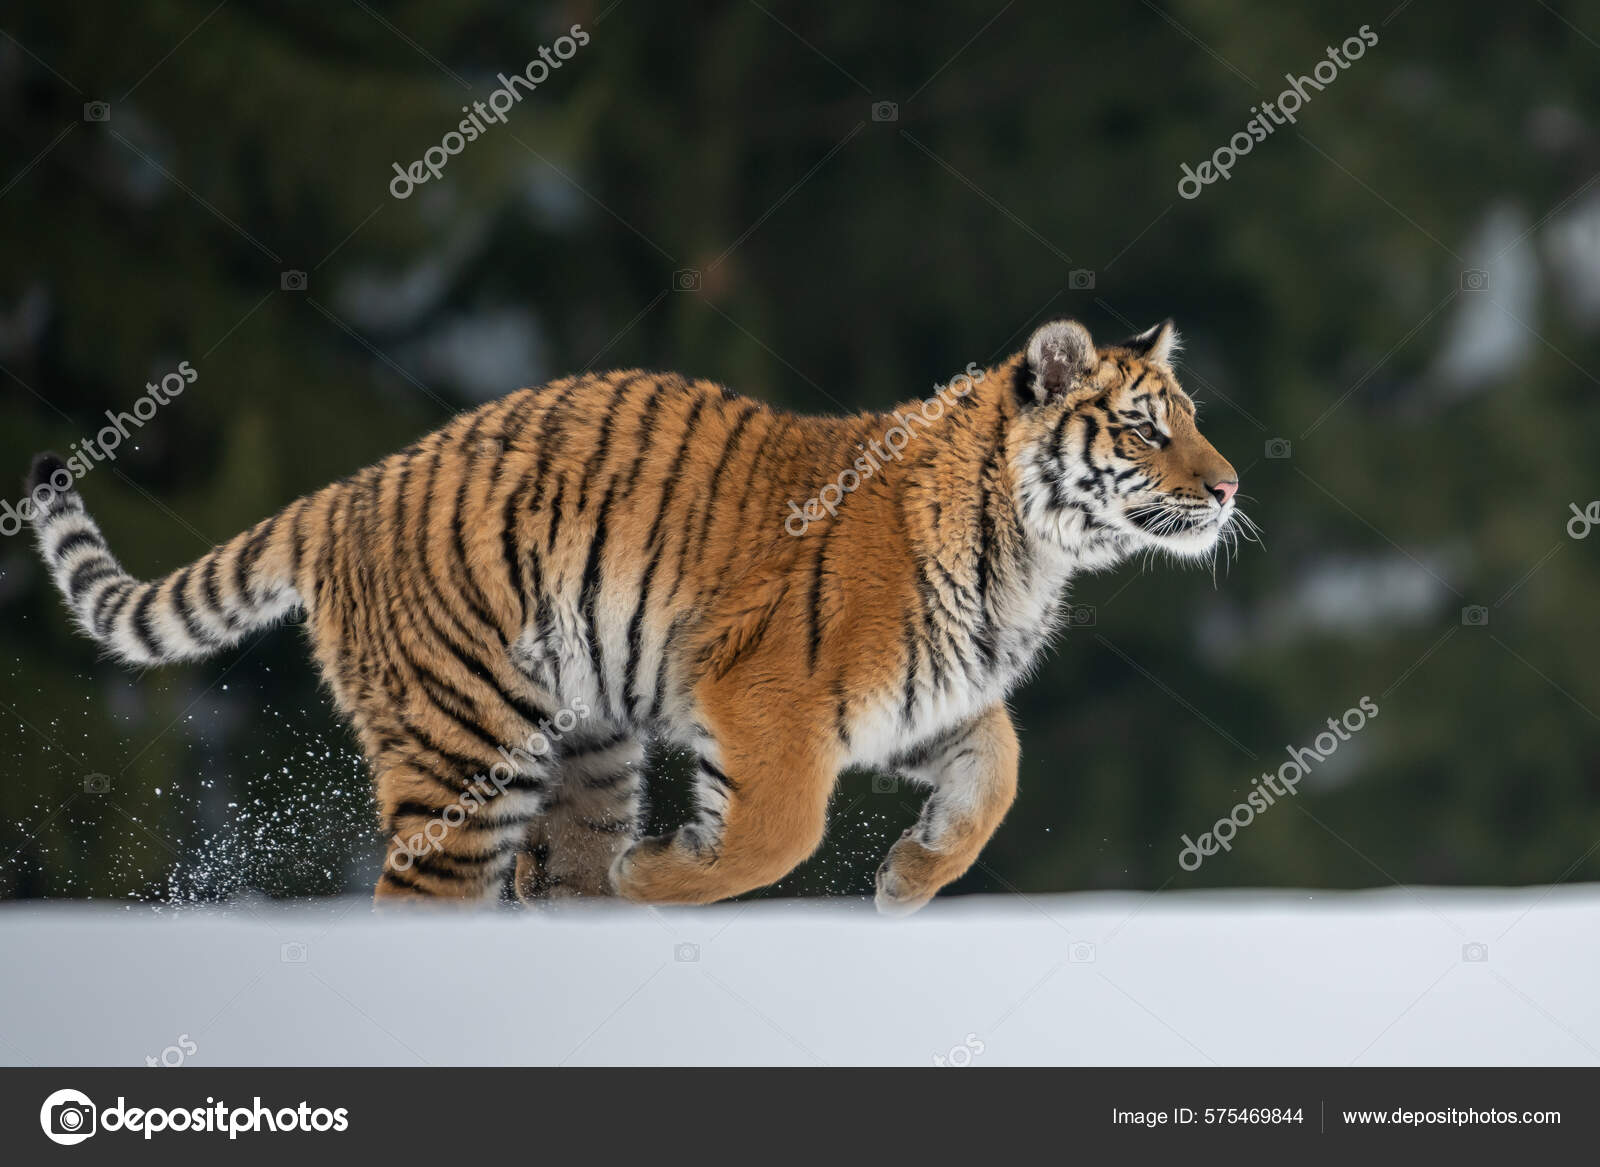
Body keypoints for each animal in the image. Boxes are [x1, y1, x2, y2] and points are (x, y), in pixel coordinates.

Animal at [25, 317, 1243, 914]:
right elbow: (775, 832)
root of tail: (353, 488)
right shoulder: (766, 699)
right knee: (420, 897)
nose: (1231, 487)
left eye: (1189, 415)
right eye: (1145, 427)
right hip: (465, 748)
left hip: (586, 748)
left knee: (546, 875)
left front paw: (909, 876)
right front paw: (660, 878)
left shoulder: (925, 698)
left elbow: (999, 776)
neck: (1031, 553)